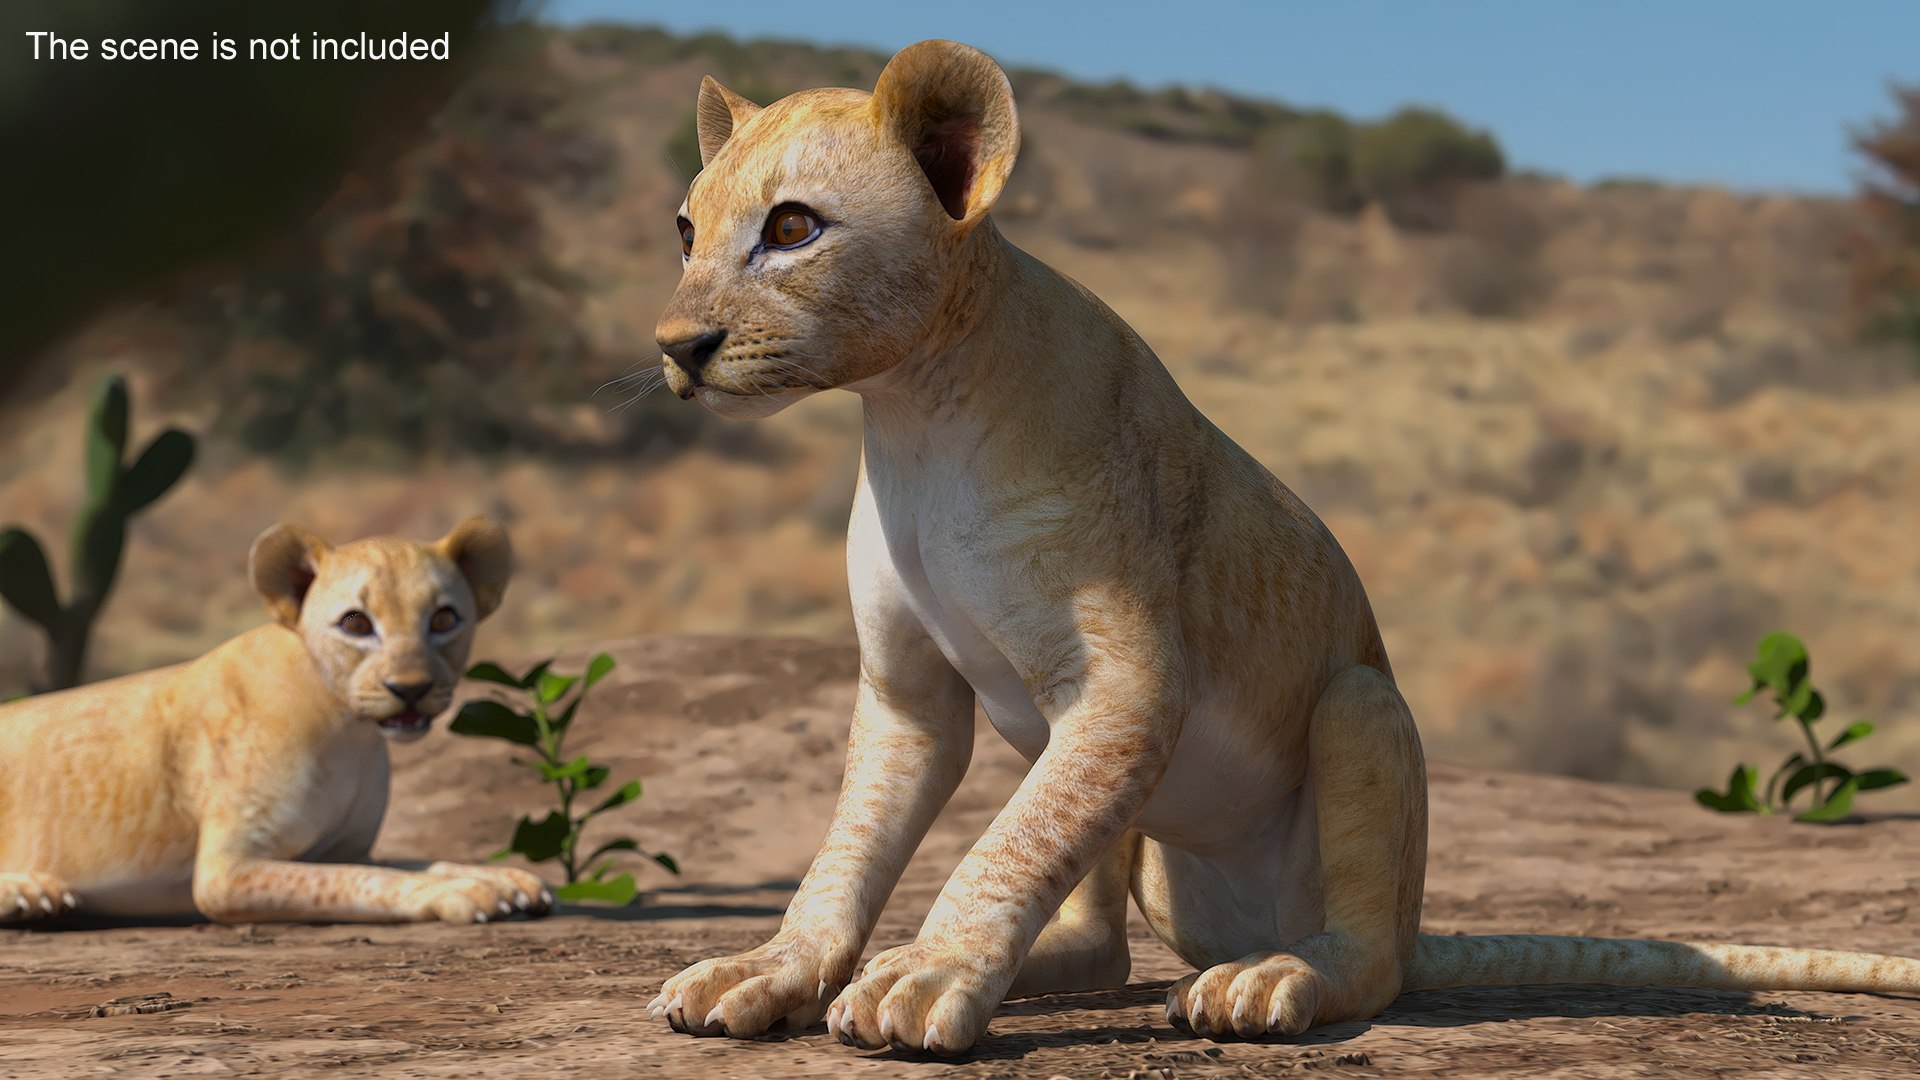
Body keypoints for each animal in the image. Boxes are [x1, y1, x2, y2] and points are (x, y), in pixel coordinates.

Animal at [0, 517, 552, 925]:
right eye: (356, 623)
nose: (410, 688)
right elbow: (365, 880)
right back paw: (31, 892)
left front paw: (507, 880)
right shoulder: (225, 872)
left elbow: (401, 861)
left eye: (443, 619)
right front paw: (462, 891)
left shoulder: (347, 848)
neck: (349, 734)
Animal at [644, 40, 1920, 1054]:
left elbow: (1009, 843)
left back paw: (1267, 982)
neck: (914, 409)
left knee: (1369, 956)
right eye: (687, 229)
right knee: (1105, 942)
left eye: (793, 228)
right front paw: (780, 968)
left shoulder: (1127, 683)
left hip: (1360, 716)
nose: (674, 345)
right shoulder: (914, 693)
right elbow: (855, 845)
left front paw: (924, 978)